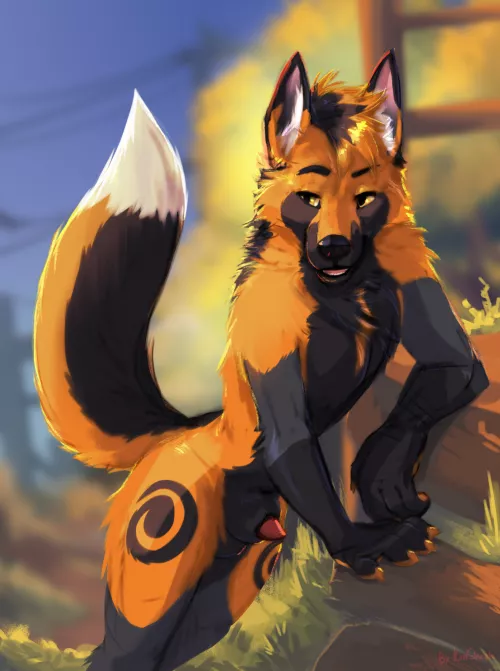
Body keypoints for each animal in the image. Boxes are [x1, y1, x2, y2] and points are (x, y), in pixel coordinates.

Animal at [33, 50, 489, 670]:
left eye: (365, 200)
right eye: (309, 197)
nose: (333, 247)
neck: (342, 294)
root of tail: (178, 434)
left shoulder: (431, 316)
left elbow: (436, 391)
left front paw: (381, 479)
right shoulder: (274, 371)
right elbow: (300, 456)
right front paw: (362, 544)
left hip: (217, 603)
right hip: (155, 592)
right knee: (115, 655)